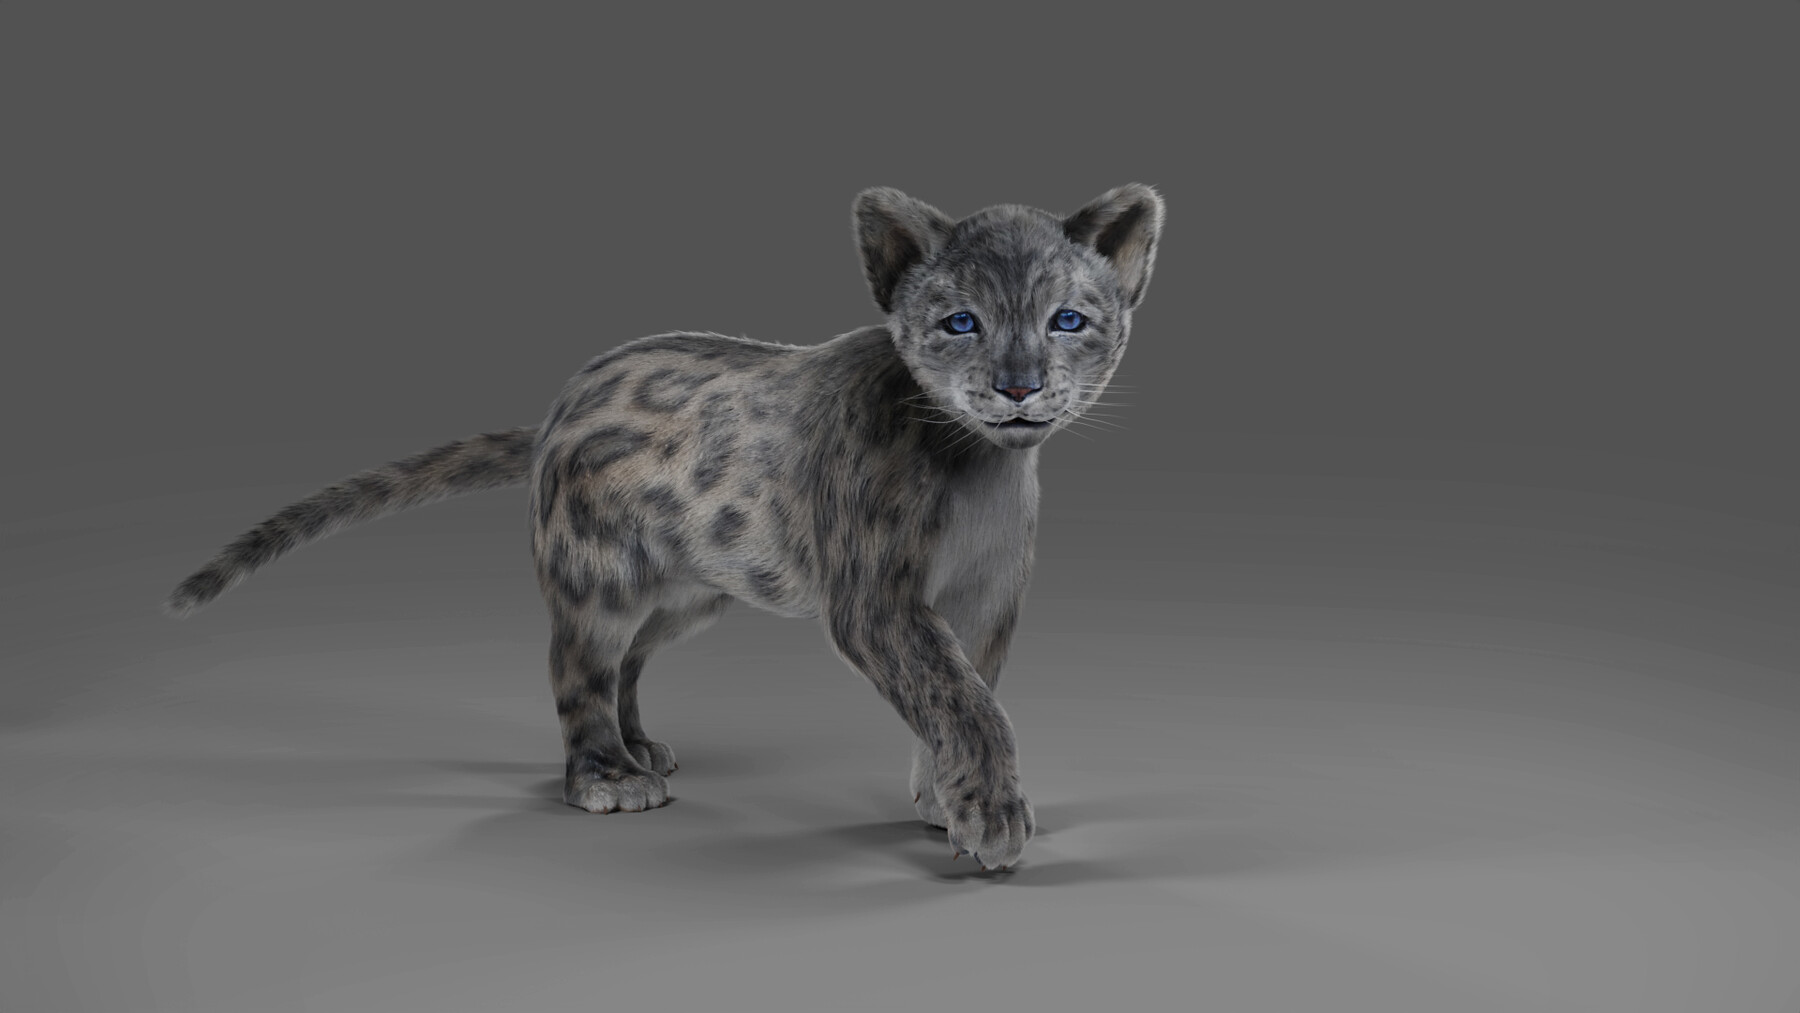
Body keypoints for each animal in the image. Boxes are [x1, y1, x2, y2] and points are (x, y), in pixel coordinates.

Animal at [166, 184, 1165, 870]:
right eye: (960, 321)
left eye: (1067, 318)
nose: (1019, 385)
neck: (981, 471)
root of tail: (557, 406)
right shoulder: (880, 600)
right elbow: (962, 700)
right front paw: (990, 814)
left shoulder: (987, 600)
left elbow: (969, 691)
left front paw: (941, 801)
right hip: (597, 576)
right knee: (577, 667)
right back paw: (608, 778)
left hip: (687, 592)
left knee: (630, 662)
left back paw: (640, 744)